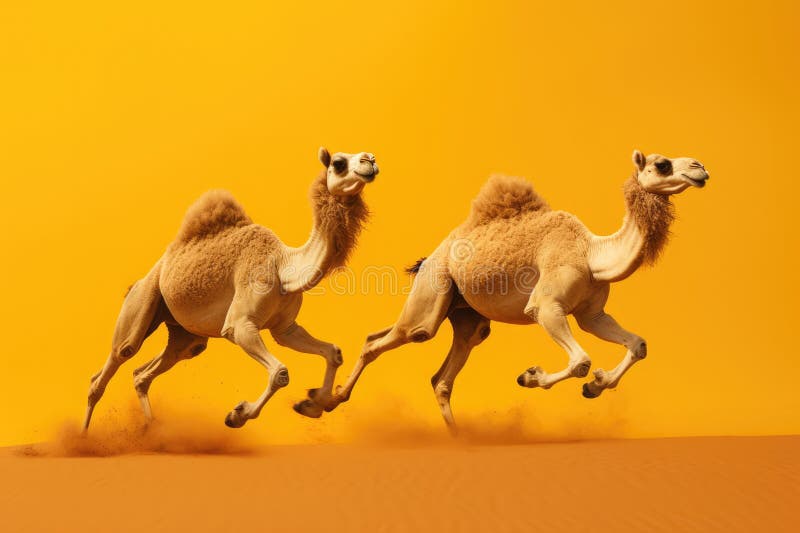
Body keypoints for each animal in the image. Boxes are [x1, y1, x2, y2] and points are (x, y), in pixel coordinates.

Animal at [83, 147, 378, 431]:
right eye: (338, 163)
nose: (370, 160)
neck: (284, 267)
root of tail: (141, 280)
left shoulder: (285, 328)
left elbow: (333, 352)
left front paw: (312, 405)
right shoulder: (239, 324)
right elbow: (280, 373)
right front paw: (237, 415)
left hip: (185, 335)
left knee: (144, 374)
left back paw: (153, 431)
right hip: (142, 302)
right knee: (113, 363)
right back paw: (85, 436)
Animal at [302, 150, 709, 432]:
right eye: (661, 164)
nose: (700, 167)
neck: (592, 253)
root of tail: (430, 257)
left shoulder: (591, 313)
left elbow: (637, 344)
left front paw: (597, 385)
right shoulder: (546, 306)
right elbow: (579, 361)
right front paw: (532, 376)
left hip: (467, 316)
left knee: (442, 377)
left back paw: (460, 438)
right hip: (430, 299)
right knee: (384, 340)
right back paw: (322, 403)